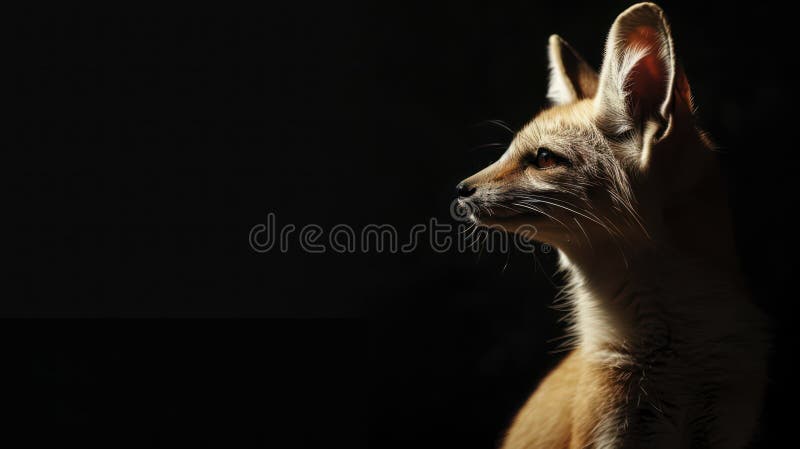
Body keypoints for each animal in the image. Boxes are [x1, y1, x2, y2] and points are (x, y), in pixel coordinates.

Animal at [456, 3, 767, 448]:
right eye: (509, 151)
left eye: (544, 158)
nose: (461, 189)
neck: (676, 358)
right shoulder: (608, 430)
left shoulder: (728, 425)